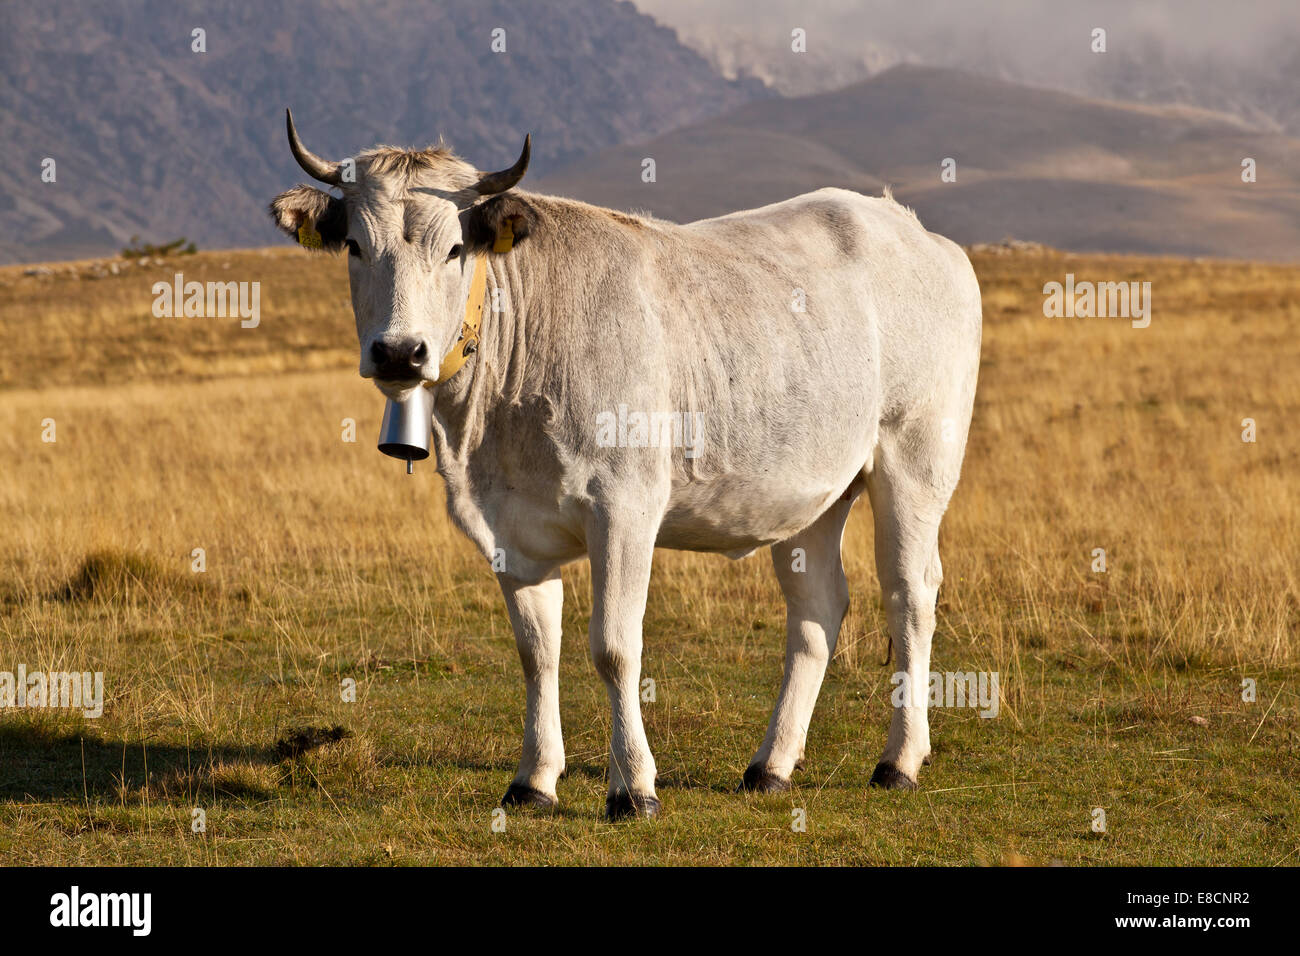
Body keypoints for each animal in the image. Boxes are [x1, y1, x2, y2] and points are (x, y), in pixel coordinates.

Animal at [269, 111, 982, 820]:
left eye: (454, 250)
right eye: (355, 247)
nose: (399, 352)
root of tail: (913, 229)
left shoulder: (624, 506)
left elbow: (614, 647)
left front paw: (633, 786)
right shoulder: (509, 528)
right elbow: (537, 652)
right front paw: (534, 779)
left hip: (914, 462)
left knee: (910, 595)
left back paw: (900, 760)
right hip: (811, 491)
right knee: (817, 609)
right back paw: (772, 764)